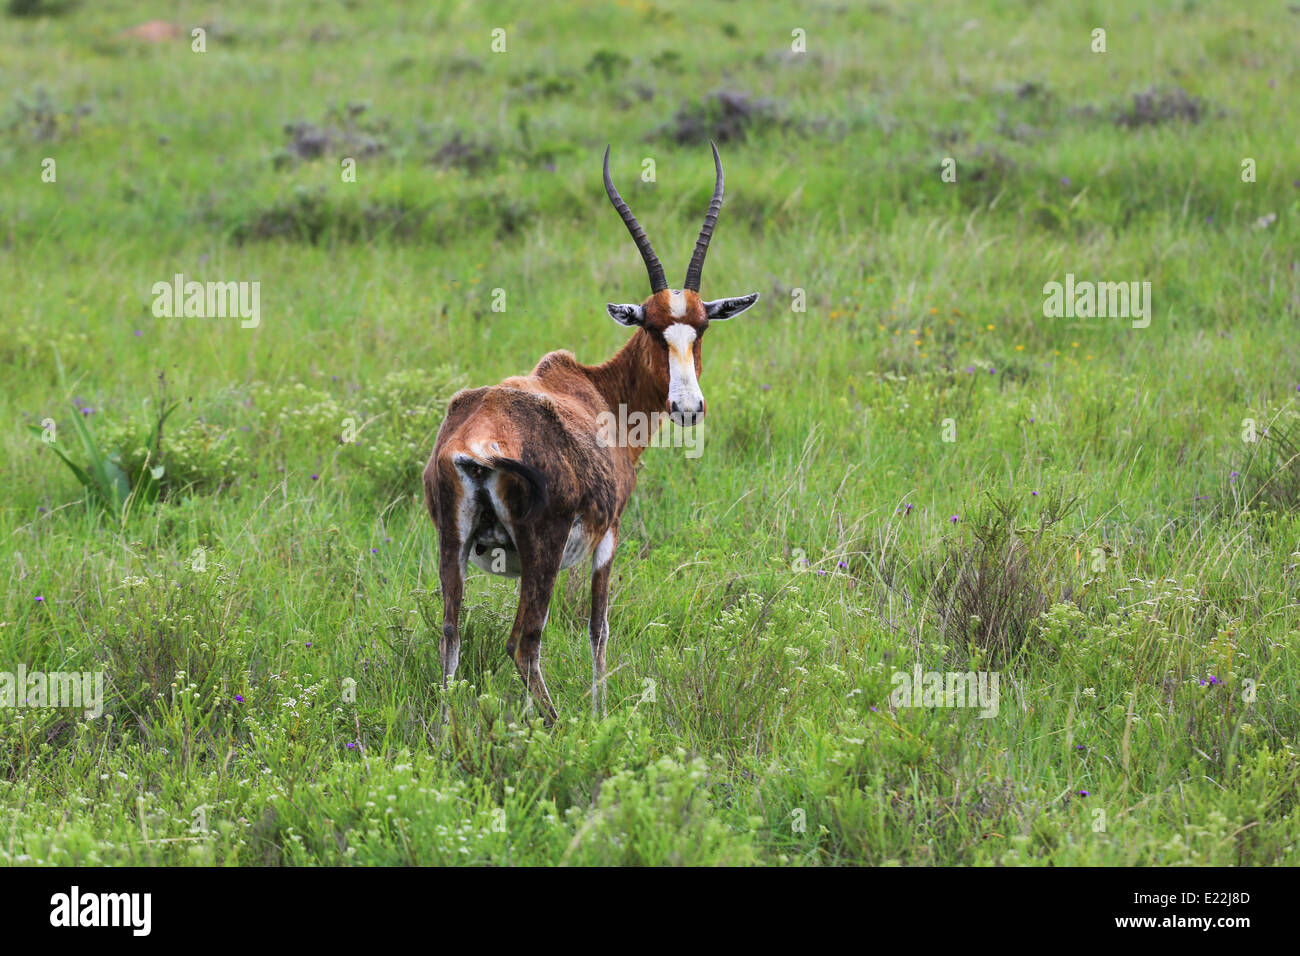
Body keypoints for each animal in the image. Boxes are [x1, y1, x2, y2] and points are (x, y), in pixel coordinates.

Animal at [423, 142, 759, 721]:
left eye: (700, 328)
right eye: (652, 326)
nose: (688, 406)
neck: (594, 389)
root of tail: (473, 442)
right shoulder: (609, 540)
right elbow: (598, 629)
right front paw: (602, 715)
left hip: (455, 548)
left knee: (451, 636)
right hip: (543, 555)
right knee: (524, 643)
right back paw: (561, 726)